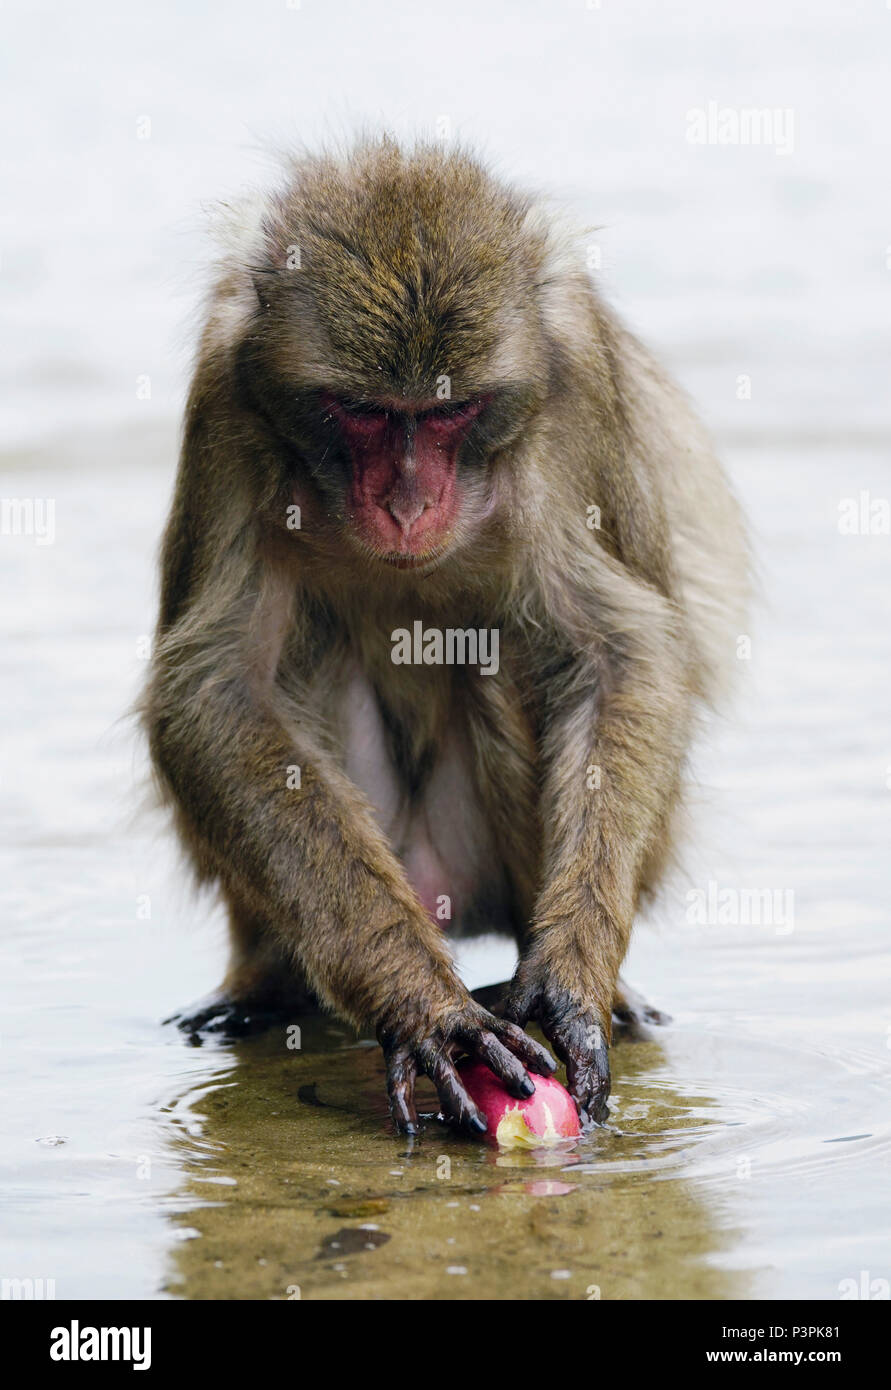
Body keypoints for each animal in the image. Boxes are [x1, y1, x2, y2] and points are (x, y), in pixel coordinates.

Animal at [144, 137, 748, 1136]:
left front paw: (570, 981)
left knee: (512, 649)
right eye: (362, 411)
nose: (407, 503)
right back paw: (270, 982)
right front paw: (423, 1006)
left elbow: (615, 653)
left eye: (447, 413)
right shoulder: (226, 391)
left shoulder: (573, 388)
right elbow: (219, 688)